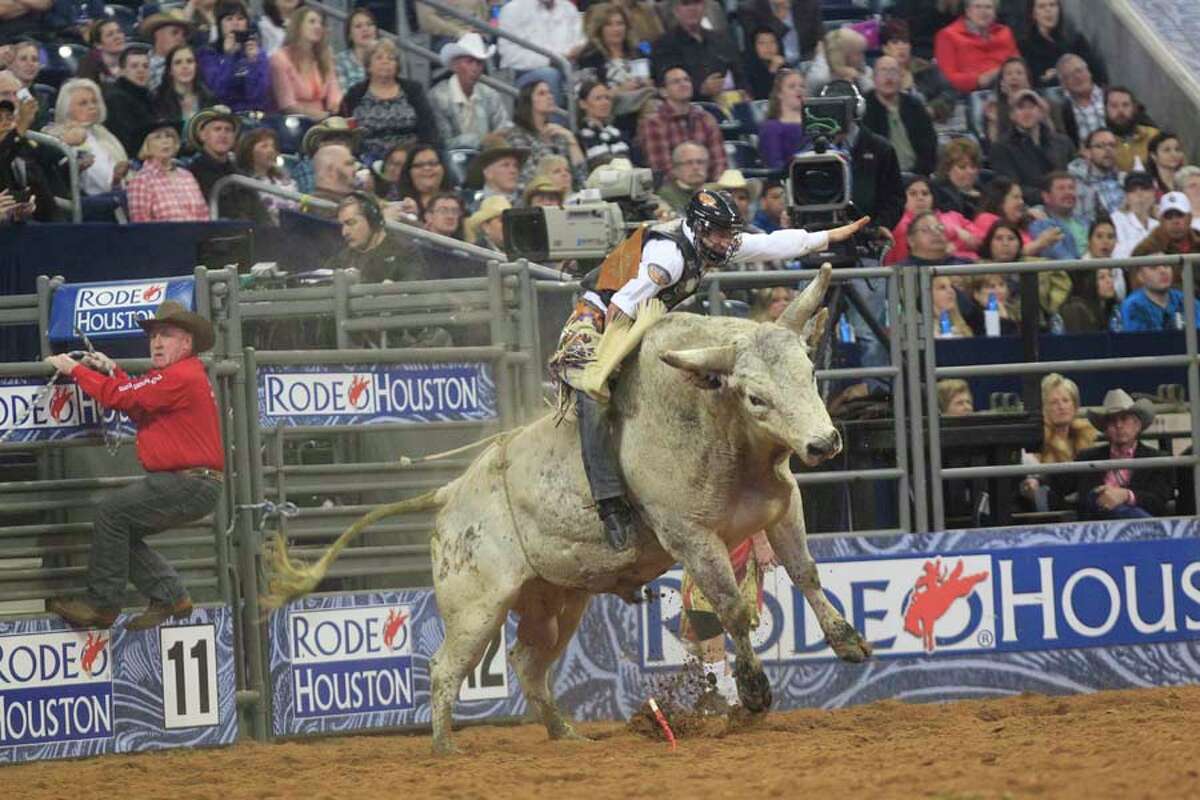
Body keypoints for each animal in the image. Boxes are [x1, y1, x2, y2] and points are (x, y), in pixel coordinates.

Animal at [264, 264, 873, 754]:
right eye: (755, 397)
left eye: (810, 372)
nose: (823, 444)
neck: (719, 426)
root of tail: (451, 492)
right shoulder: (692, 537)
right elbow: (732, 608)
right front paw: (754, 692)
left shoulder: (784, 504)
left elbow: (805, 571)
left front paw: (848, 640)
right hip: (475, 602)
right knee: (445, 666)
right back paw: (444, 747)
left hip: (555, 600)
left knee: (528, 664)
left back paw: (565, 733)